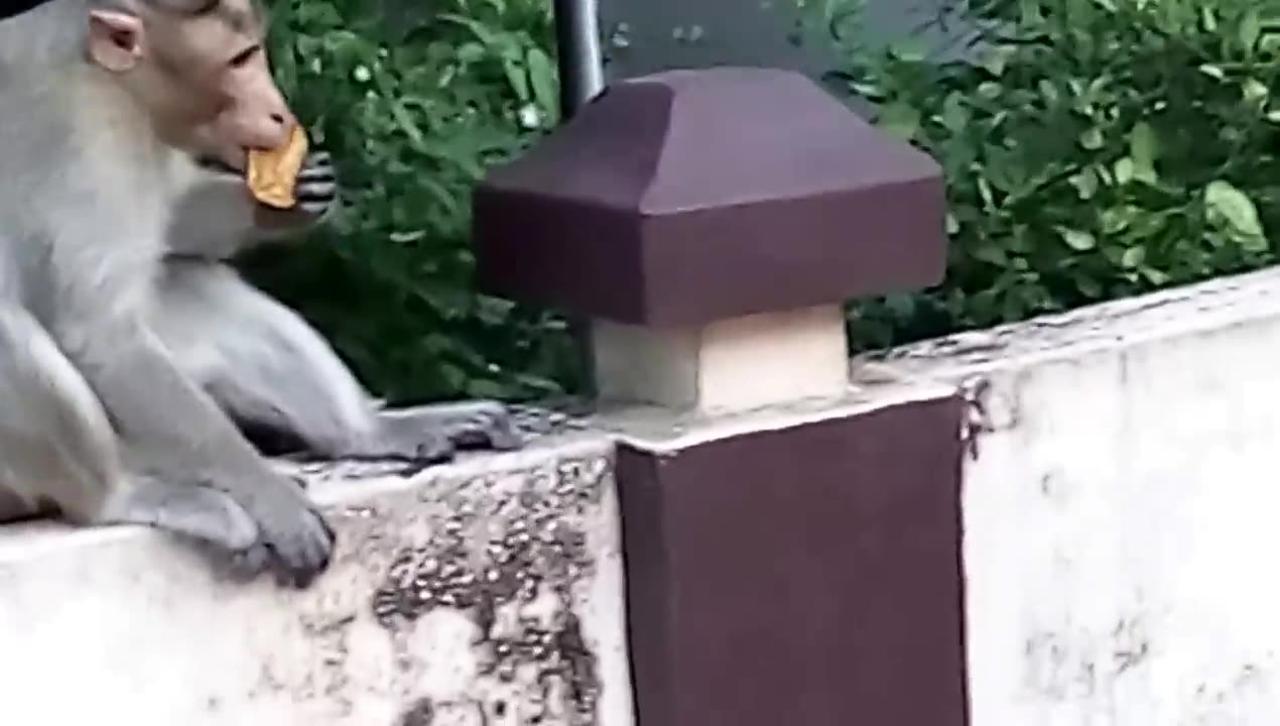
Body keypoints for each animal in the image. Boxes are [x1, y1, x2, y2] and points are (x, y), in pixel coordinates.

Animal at [0, 0, 520, 588]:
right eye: (240, 59)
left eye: (253, 51)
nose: (277, 113)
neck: (118, 87)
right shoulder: (79, 139)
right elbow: (97, 332)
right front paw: (271, 498)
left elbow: (175, 222)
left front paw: (285, 200)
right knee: (11, 327)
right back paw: (124, 497)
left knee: (188, 279)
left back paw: (368, 432)